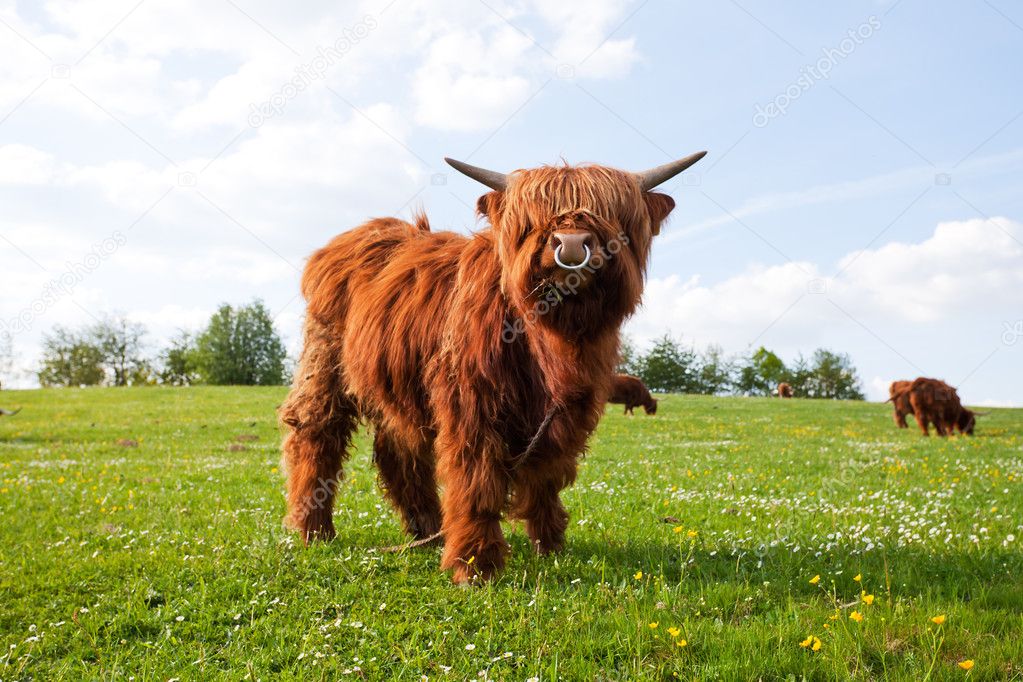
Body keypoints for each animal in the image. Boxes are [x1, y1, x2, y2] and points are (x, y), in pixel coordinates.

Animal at [279, 151, 706, 584]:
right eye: (532, 218)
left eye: (611, 213)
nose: (571, 245)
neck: (550, 345)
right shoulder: (471, 402)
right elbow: (475, 480)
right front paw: (474, 565)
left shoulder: (568, 413)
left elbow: (546, 477)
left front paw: (550, 544)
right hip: (324, 361)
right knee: (316, 432)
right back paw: (314, 529)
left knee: (398, 453)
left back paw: (426, 531)